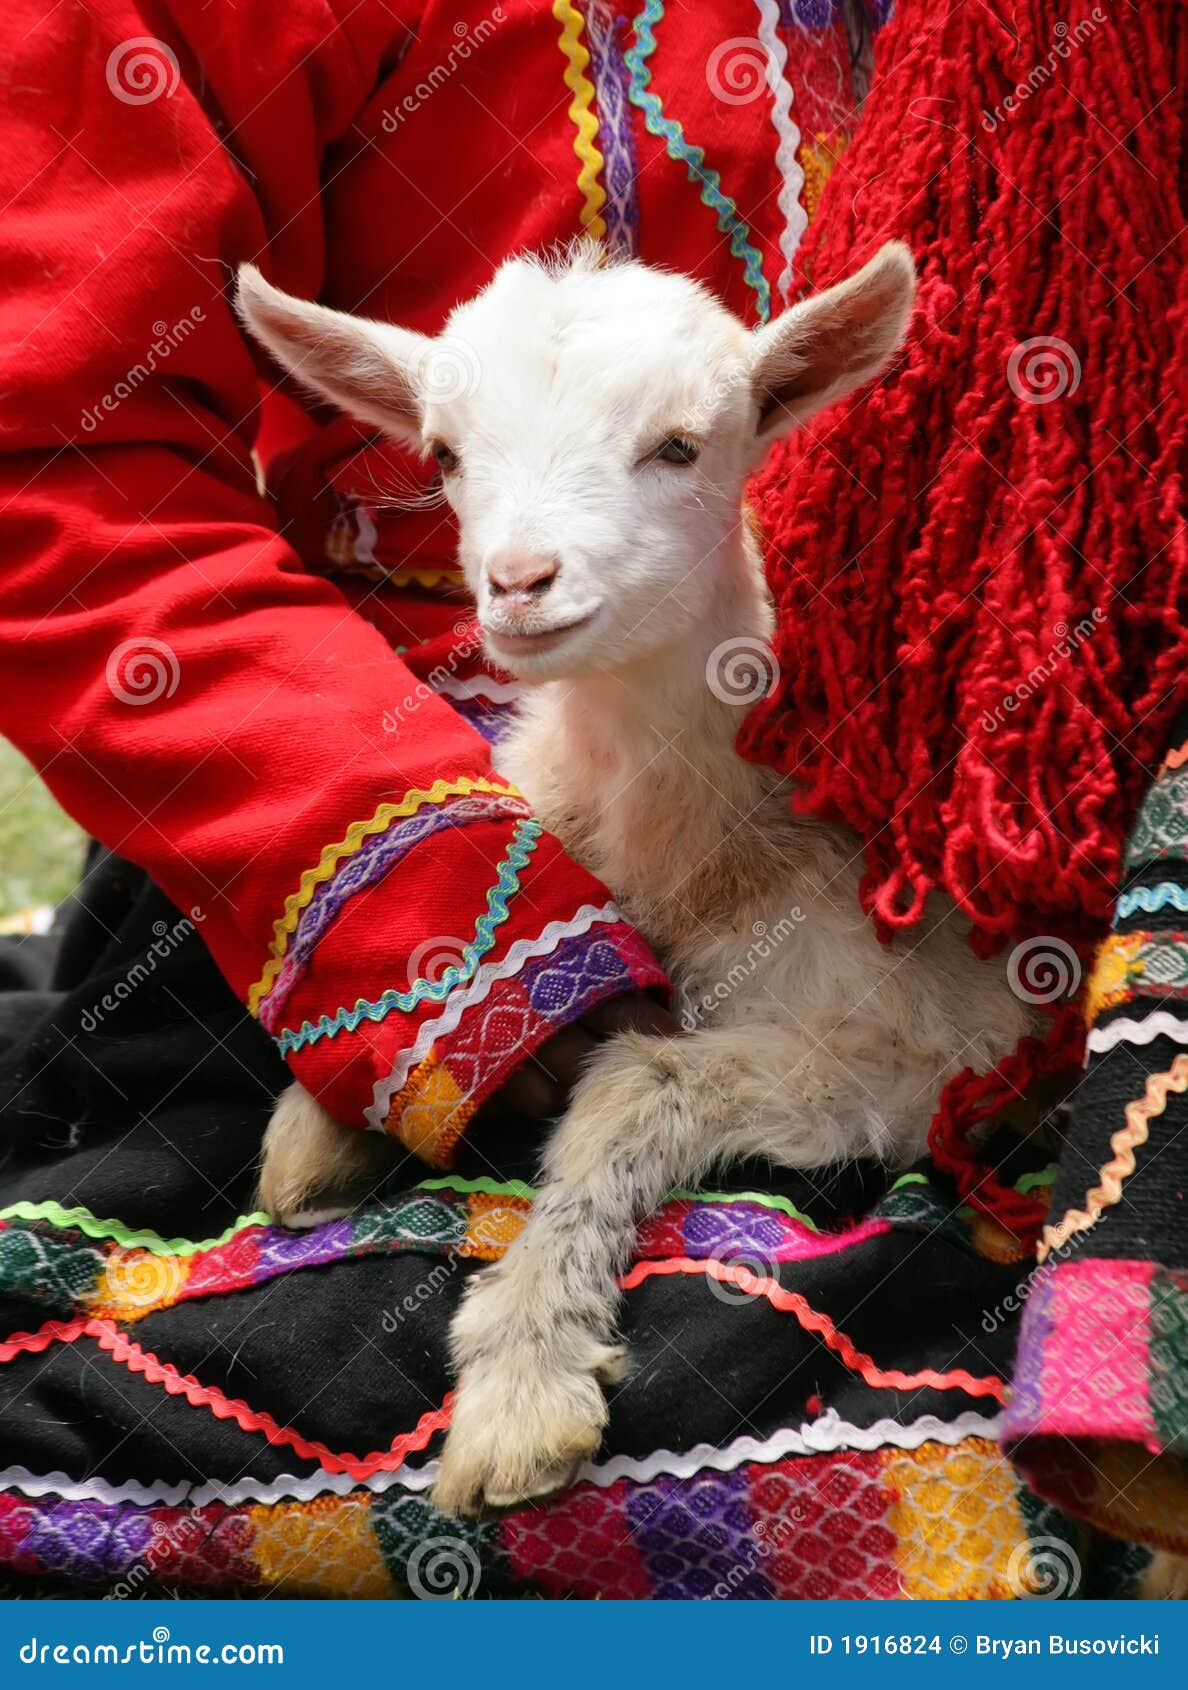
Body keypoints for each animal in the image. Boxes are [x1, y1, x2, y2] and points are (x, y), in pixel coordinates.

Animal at [236, 245, 1037, 1516]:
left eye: (680, 446)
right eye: (445, 453)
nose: (520, 582)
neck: (686, 835)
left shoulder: (935, 1046)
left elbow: (633, 1081)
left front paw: (523, 1373)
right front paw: (324, 1121)